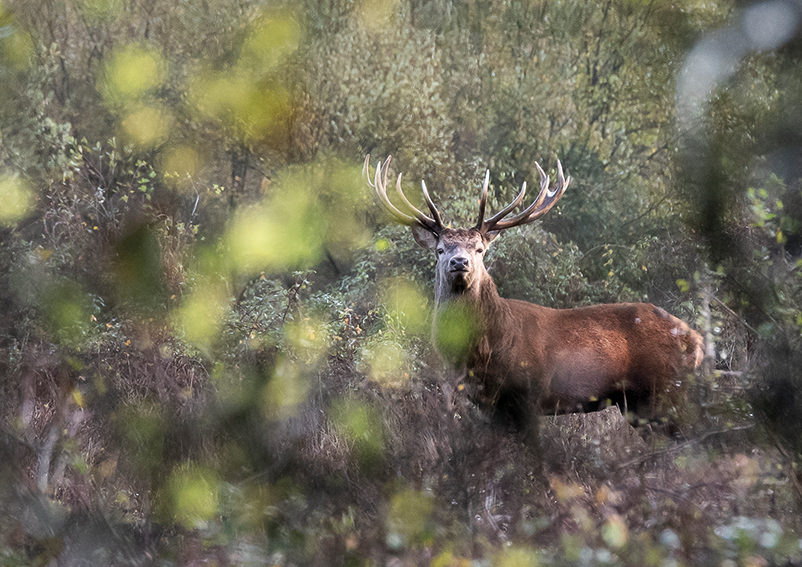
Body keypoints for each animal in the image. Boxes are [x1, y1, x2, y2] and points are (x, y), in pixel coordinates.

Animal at [364, 154, 704, 443]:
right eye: (440, 249)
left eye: (479, 249)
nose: (459, 263)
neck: (482, 352)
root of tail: (698, 340)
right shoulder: (487, 405)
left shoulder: (528, 396)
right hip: (635, 402)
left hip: (663, 390)